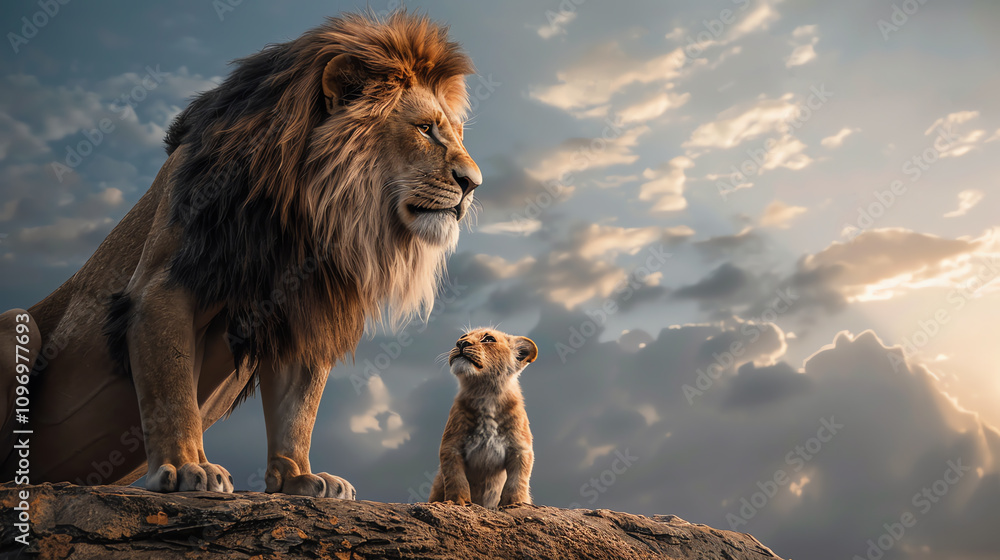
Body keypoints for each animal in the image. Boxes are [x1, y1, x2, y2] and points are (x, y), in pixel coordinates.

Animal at [0, 11, 481, 497]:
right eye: (424, 128)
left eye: (457, 134)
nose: (473, 183)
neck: (308, 213)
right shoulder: (162, 287)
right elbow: (172, 391)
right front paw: (185, 467)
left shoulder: (305, 309)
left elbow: (298, 411)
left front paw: (298, 477)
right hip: (17, 324)